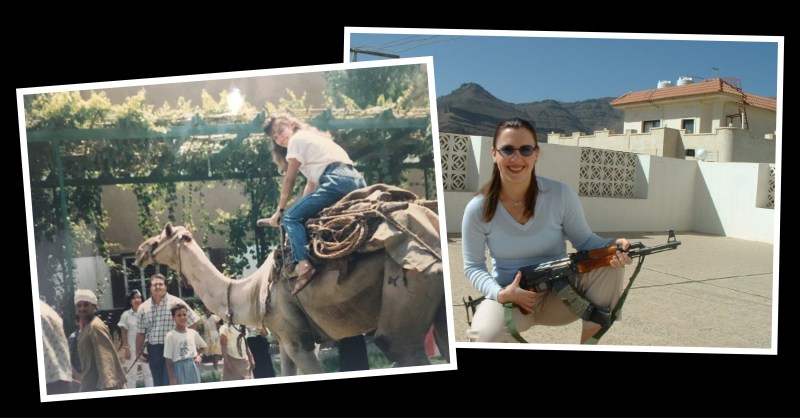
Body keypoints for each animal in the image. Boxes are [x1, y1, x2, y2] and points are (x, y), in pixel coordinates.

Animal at [138, 206, 450, 376]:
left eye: (158, 239)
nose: (140, 252)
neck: (251, 292)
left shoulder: (298, 339)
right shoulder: (285, 337)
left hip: (410, 281)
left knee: (397, 343)